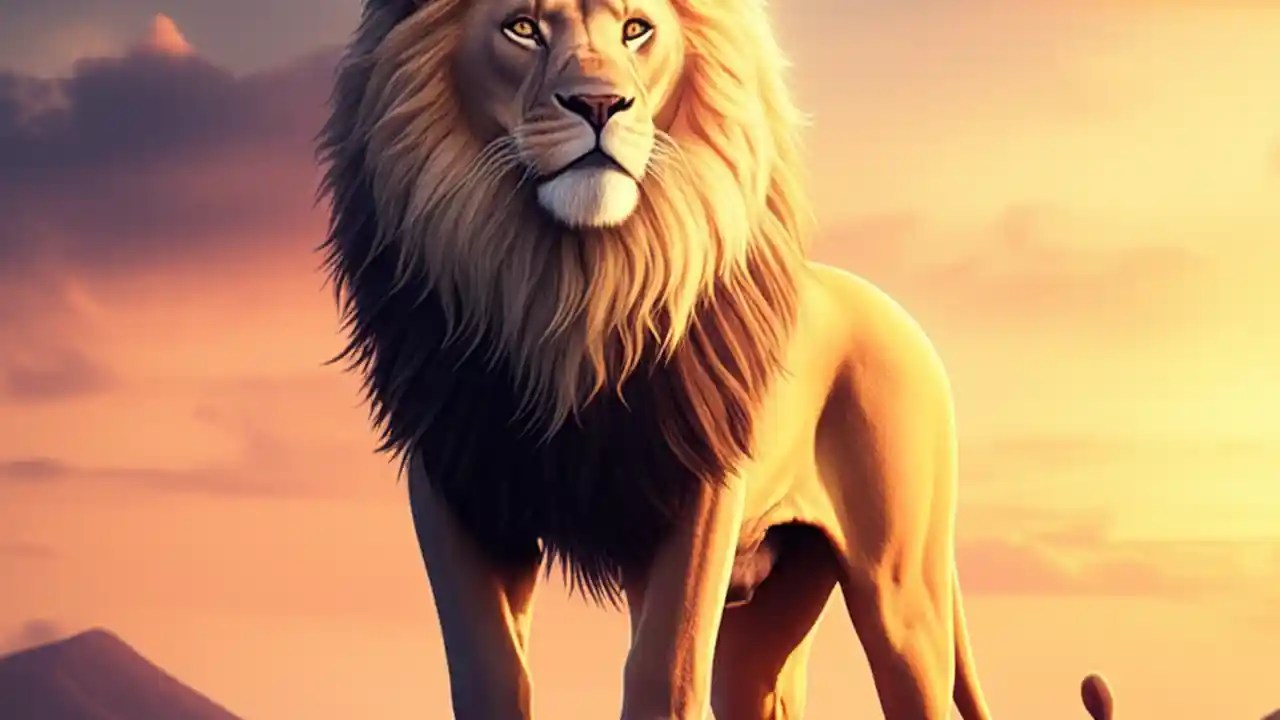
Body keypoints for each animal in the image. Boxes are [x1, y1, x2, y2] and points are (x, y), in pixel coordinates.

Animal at [317, 0, 1115, 717]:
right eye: (522, 28)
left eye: (637, 30)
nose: (600, 104)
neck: (567, 290)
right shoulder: (460, 493)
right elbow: (489, 679)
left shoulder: (696, 489)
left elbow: (660, 677)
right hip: (771, 608)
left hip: (901, 593)